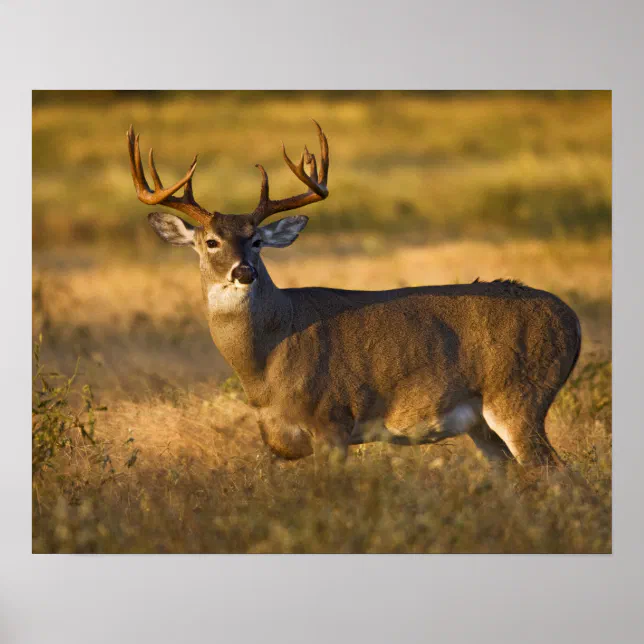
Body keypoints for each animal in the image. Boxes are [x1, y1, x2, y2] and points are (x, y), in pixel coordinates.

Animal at [126, 121, 581, 468]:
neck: (267, 361)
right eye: (210, 242)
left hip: (519, 395)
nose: (244, 272)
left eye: (256, 241)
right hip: (483, 425)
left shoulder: (331, 418)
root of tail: (572, 321)